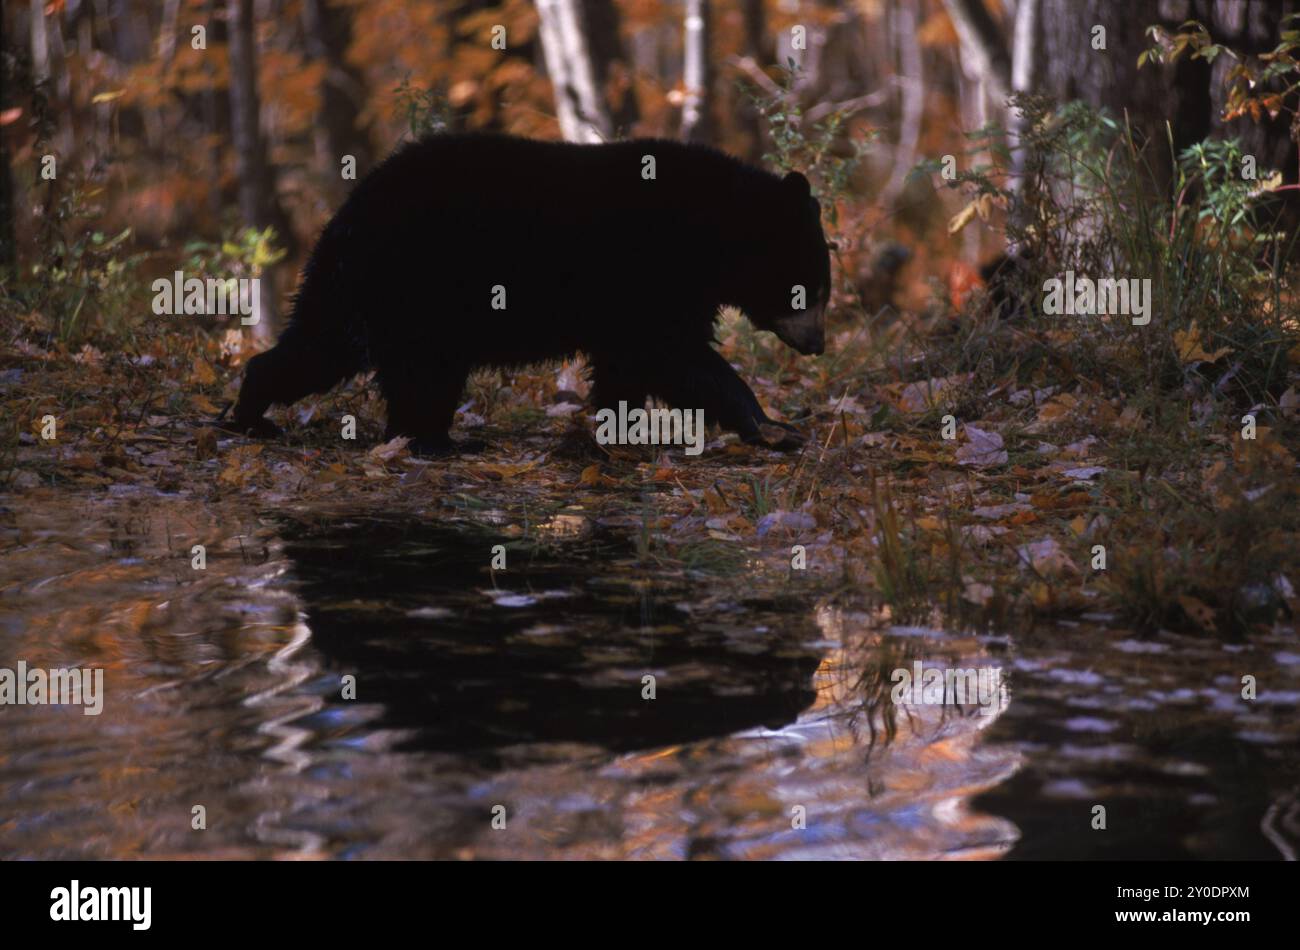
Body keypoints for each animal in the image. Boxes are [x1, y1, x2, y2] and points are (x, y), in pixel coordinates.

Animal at [228, 133, 831, 456]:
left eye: (821, 288)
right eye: (806, 290)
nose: (819, 345)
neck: (709, 234)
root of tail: (347, 210)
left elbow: (631, 363)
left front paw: (619, 427)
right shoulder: (648, 276)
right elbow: (677, 357)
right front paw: (774, 428)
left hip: (371, 290)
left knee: (326, 343)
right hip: (413, 282)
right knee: (393, 364)